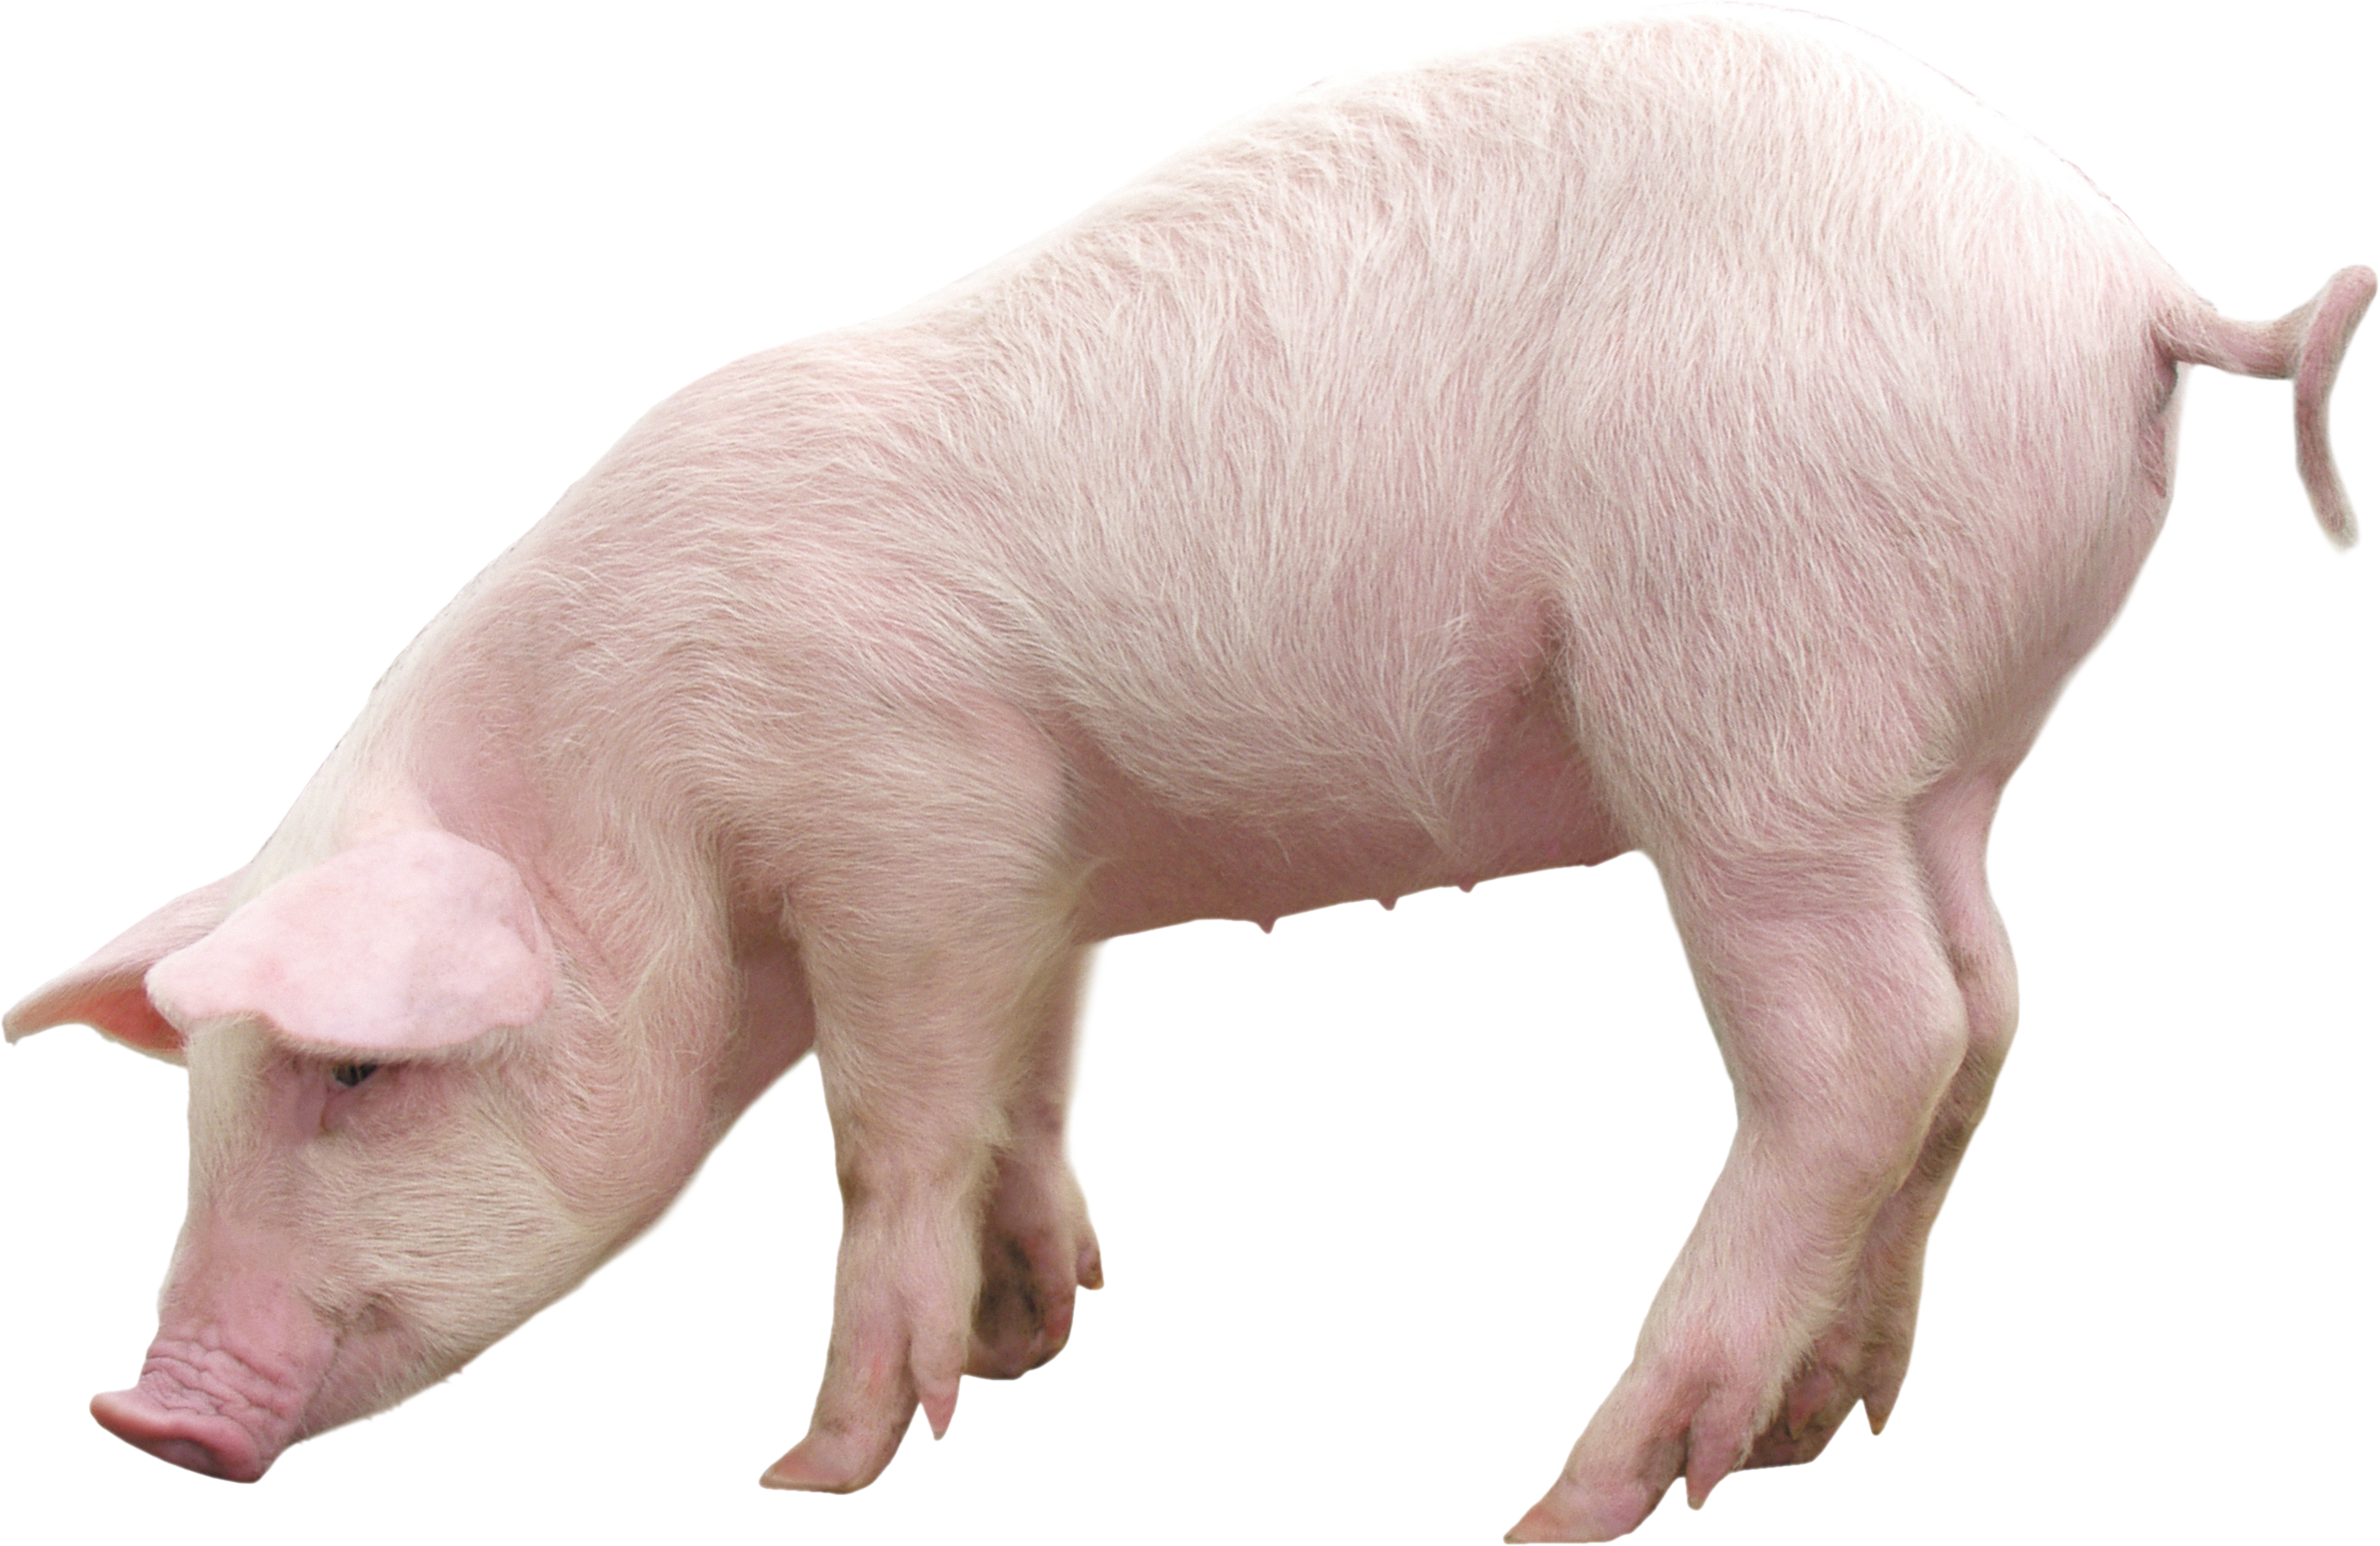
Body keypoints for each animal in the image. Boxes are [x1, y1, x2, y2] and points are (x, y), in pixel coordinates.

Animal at [3, 5, 2370, 1541]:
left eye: (356, 1072)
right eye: (206, 1092)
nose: (135, 1411)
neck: (647, 788)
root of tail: (2129, 274)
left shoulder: (912, 823)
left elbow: (887, 1128)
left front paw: (810, 1466)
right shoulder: (1038, 862)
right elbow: (1025, 1092)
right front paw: (1036, 1334)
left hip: (1750, 697)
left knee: (1862, 1042)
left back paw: (1576, 1490)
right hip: (1938, 747)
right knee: (1986, 1006)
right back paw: (1816, 1431)